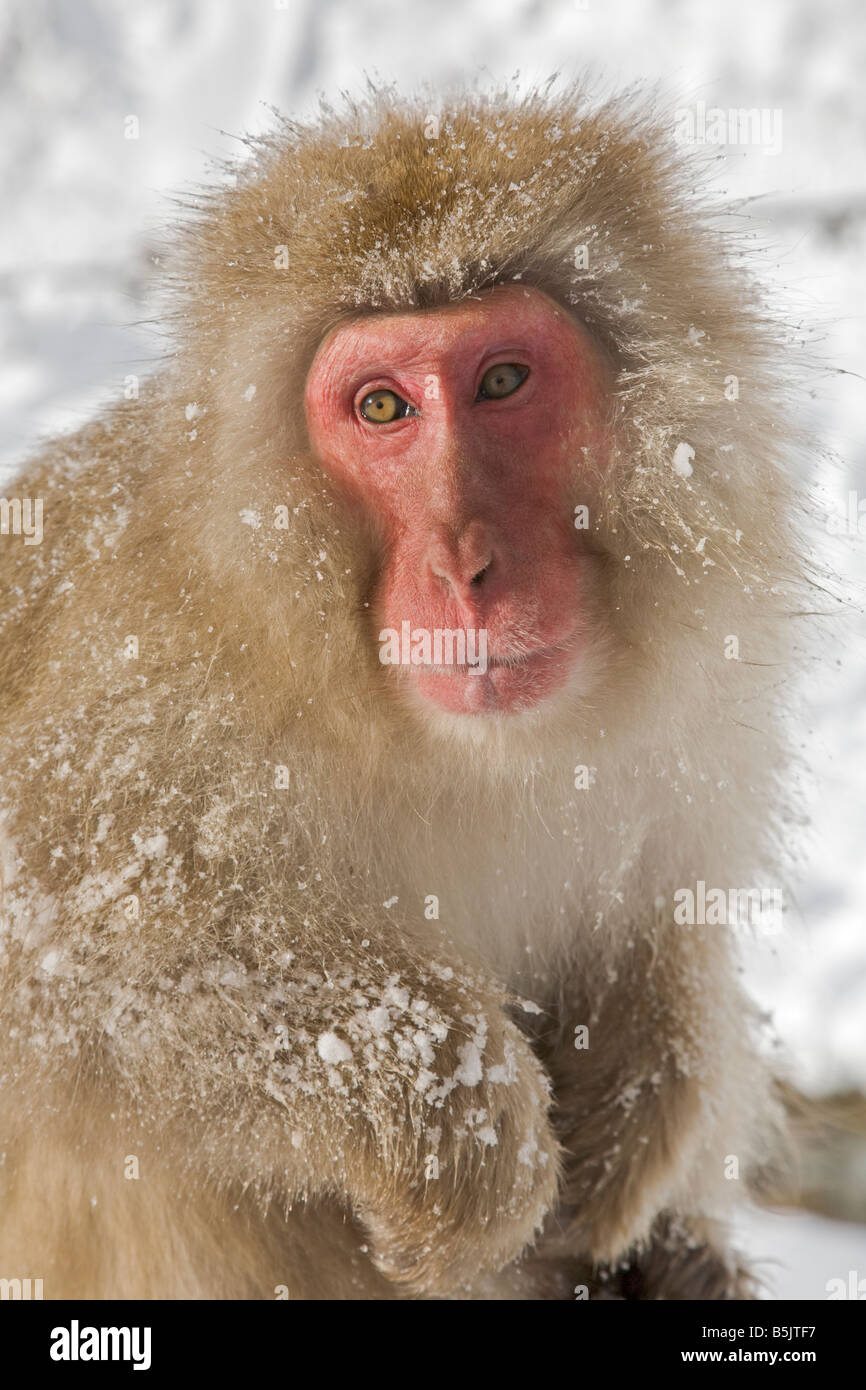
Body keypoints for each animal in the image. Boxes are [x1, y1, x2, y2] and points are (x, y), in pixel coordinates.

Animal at [0, 83, 808, 1300]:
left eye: (502, 381)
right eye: (382, 408)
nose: (463, 562)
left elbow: (663, 910)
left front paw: (641, 1108)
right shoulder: (134, 720)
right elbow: (72, 983)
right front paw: (462, 1130)